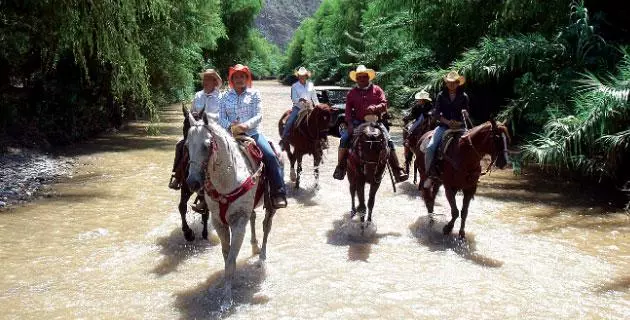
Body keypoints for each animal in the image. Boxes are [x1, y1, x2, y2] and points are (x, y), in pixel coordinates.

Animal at [184, 112, 276, 310]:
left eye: (206, 145)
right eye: (187, 145)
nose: (193, 182)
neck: (227, 181)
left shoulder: (238, 223)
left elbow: (231, 262)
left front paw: (226, 300)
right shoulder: (219, 222)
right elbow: (227, 258)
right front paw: (226, 288)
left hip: (271, 206)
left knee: (266, 226)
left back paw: (262, 257)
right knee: (254, 218)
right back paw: (255, 246)